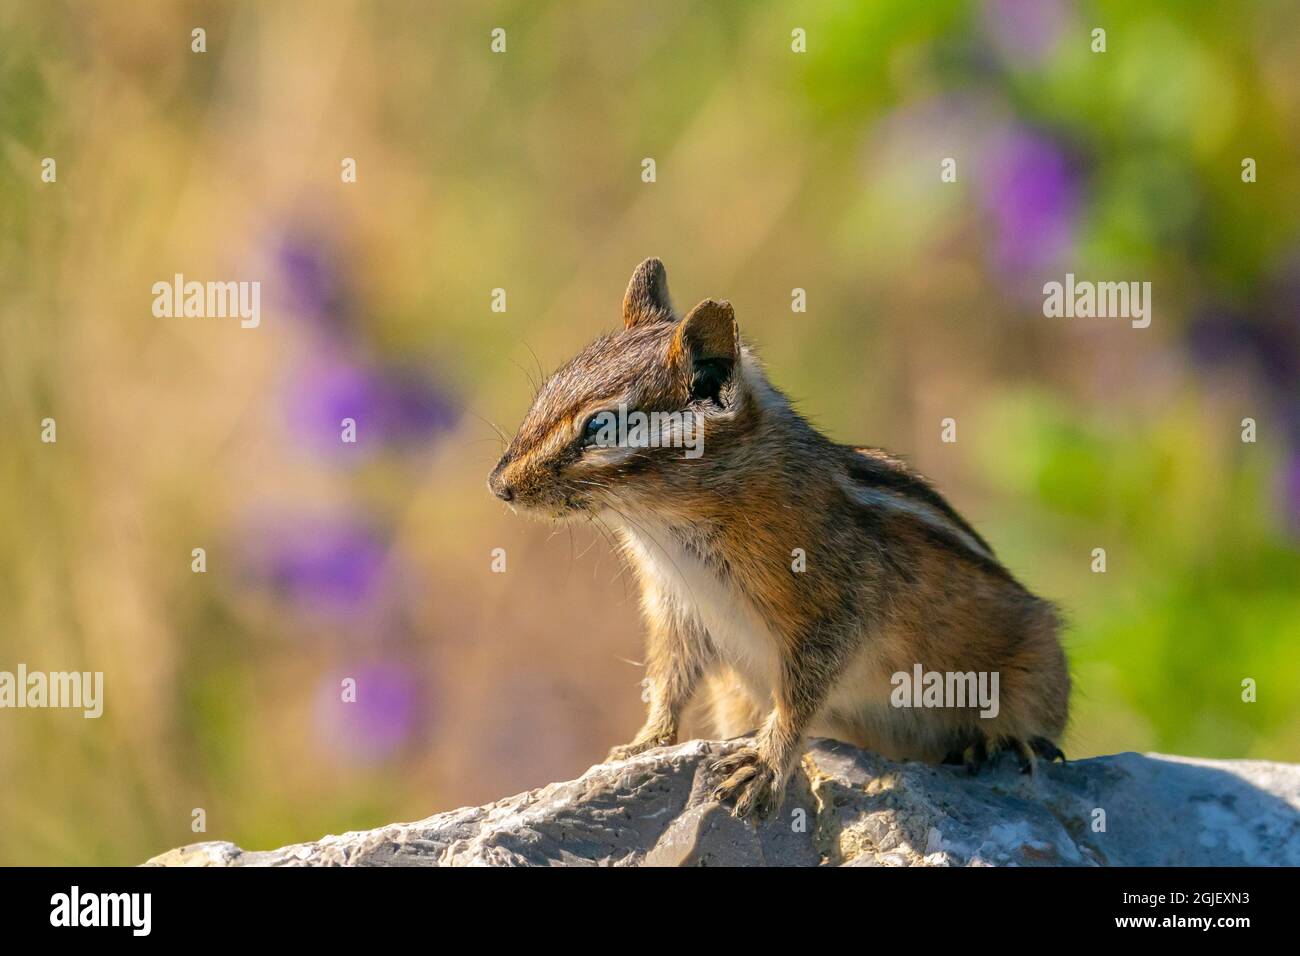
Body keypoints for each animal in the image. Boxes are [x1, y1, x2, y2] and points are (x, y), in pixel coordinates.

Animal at [488, 258, 1070, 819]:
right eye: (546, 391)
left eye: (599, 426)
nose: (499, 485)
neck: (668, 527)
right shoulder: (677, 607)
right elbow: (670, 678)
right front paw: (642, 743)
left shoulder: (831, 612)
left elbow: (798, 698)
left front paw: (765, 766)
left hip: (1035, 661)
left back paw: (998, 741)